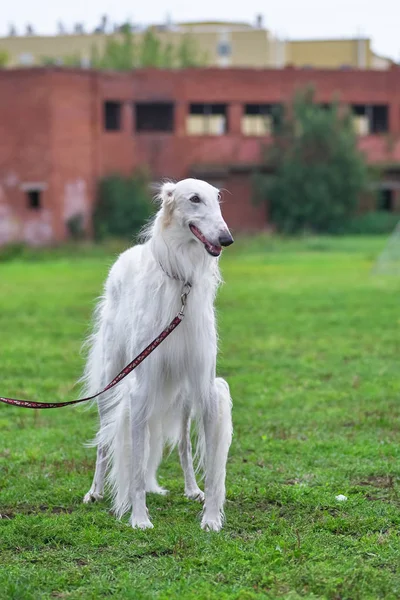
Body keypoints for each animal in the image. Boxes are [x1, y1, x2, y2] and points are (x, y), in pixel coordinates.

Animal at [83, 178, 234, 528]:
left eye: (218, 198)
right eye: (194, 199)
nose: (226, 238)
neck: (180, 283)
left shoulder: (205, 387)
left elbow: (208, 466)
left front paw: (210, 518)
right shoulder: (140, 388)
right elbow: (137, 468)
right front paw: (139, 518)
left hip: (184, 396)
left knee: (183, 446)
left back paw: (191, 489)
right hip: (110, 382)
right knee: (103, 440)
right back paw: (95, 491)